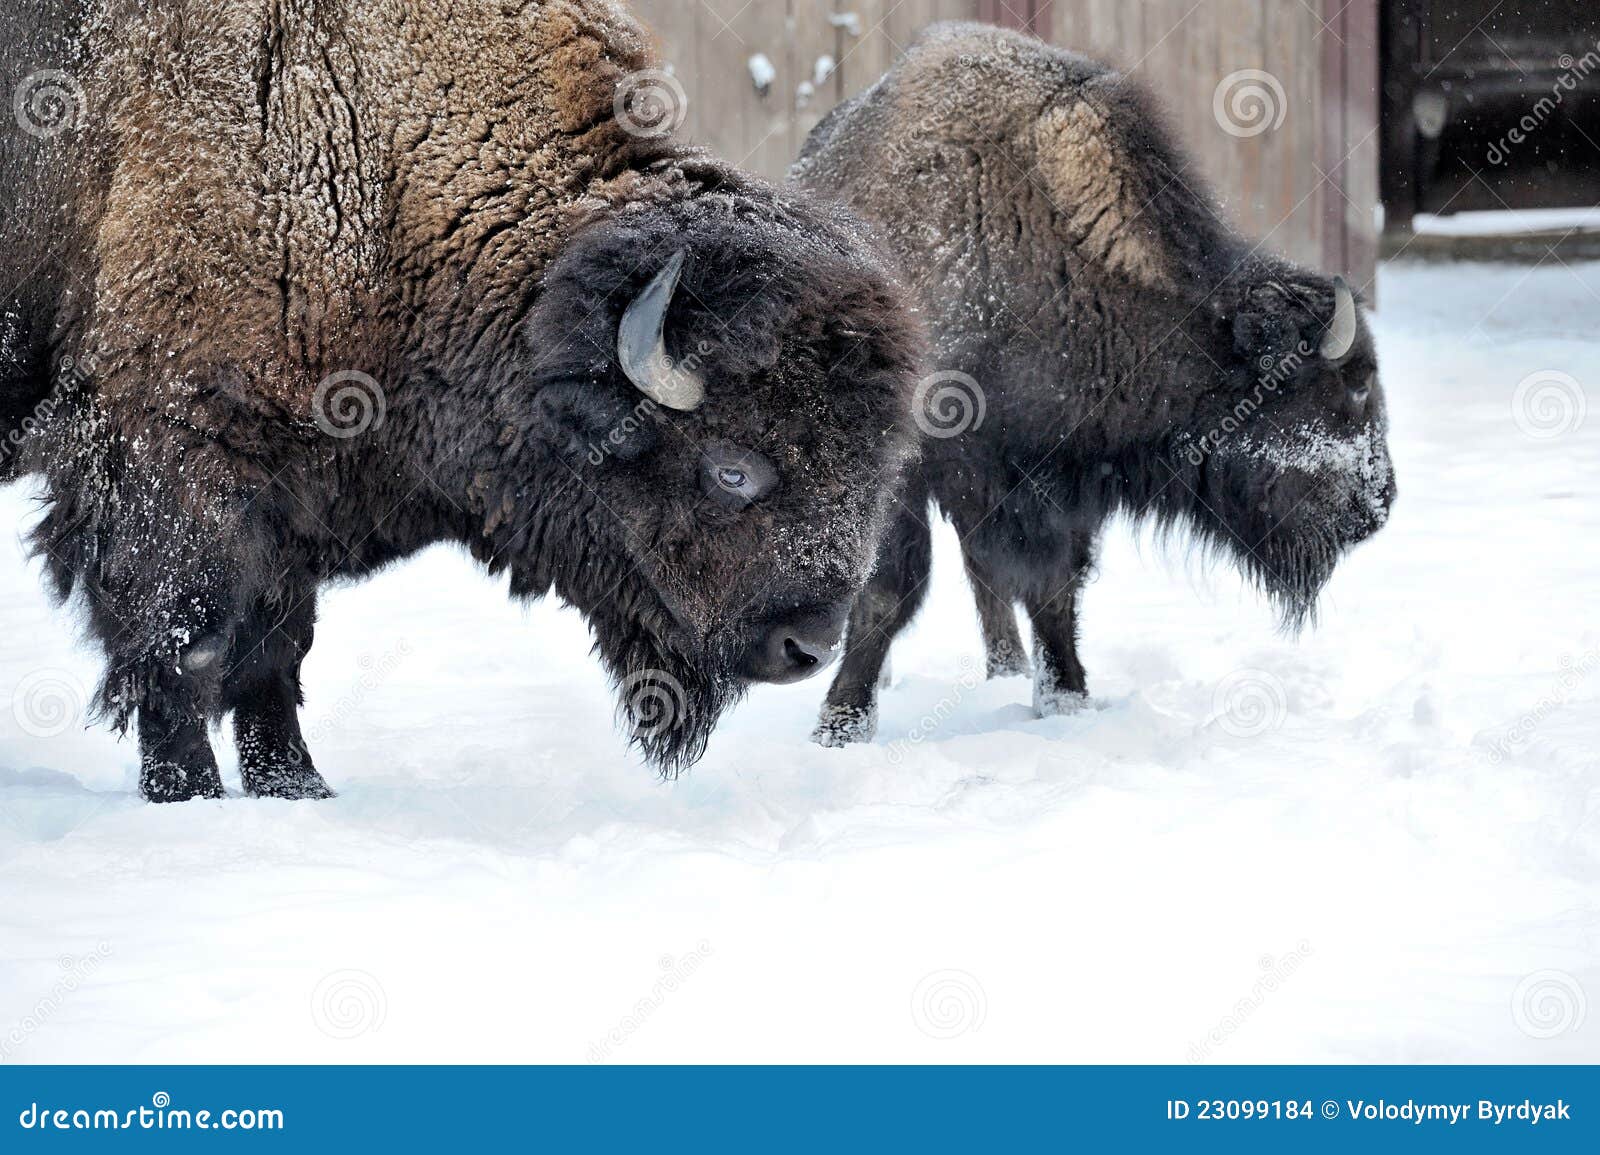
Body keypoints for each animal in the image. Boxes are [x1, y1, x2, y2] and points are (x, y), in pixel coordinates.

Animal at [1, 0, 921, 800]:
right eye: (733, 468)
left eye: (869, 469)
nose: (806, 644)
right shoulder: (174, 456)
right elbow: (185, 639)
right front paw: (188, 791)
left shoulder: (290, 494)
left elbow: (274, 647)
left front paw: (298, 788)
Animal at [792, 23, 1397, 745]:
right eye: (1354, 384)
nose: (1380, 502)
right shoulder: (913, 467)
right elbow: (891, 589)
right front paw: (840, 726)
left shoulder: (1063, 481)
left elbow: (1054, 587)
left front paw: (1065, 698)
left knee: (985, 575)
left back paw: (1006, 667)